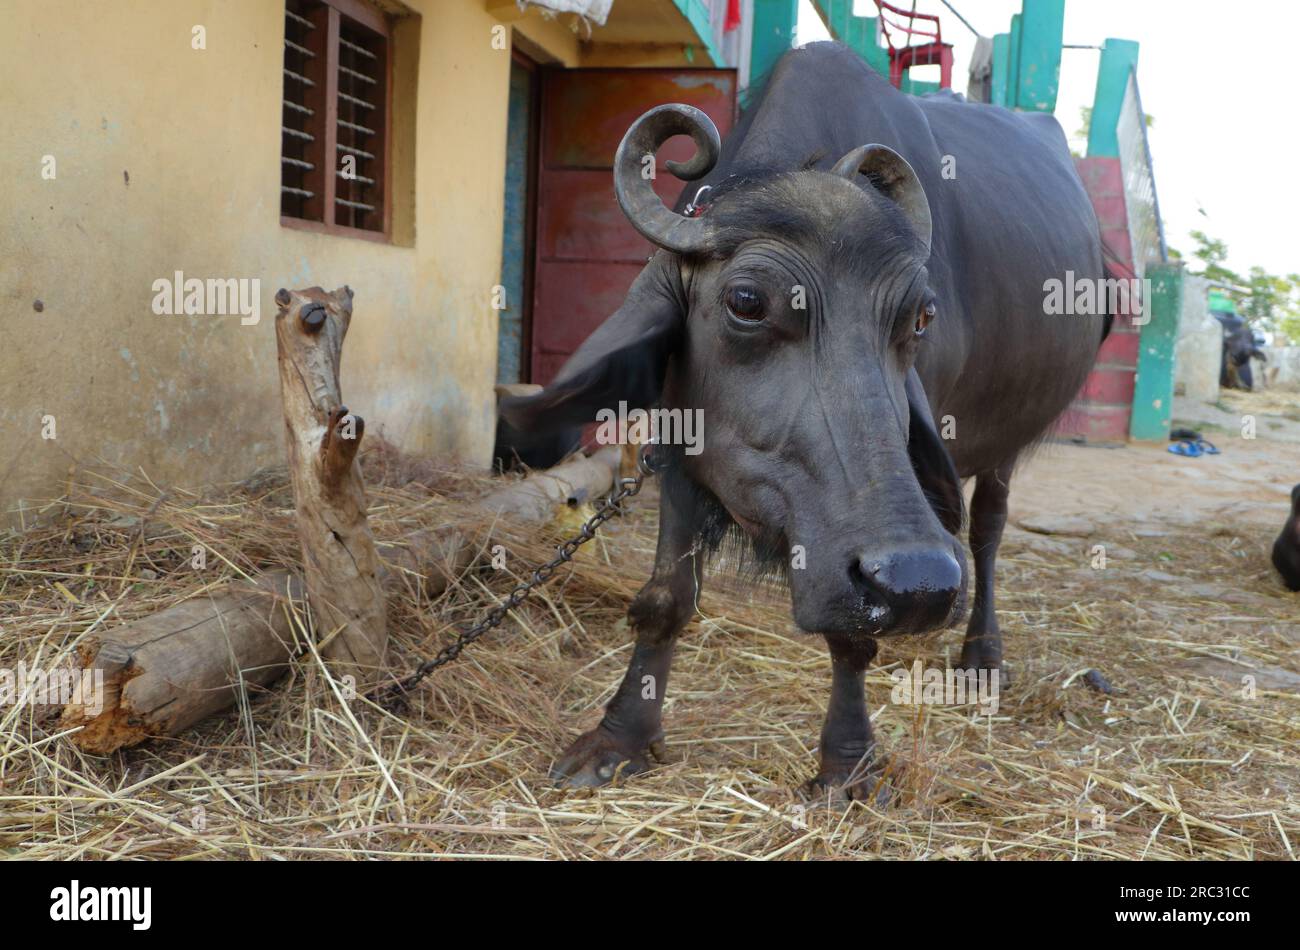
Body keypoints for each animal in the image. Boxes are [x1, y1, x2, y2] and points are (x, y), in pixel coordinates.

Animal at [504, 43, 1108, 797]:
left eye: (921, 317)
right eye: (745, 301)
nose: (920, 583)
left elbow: (851, 635)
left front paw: (847, 764)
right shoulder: (682, 455)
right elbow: (665, 596)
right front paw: (619, 738)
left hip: (1006, 440)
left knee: (989, 527)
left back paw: (979, 653)